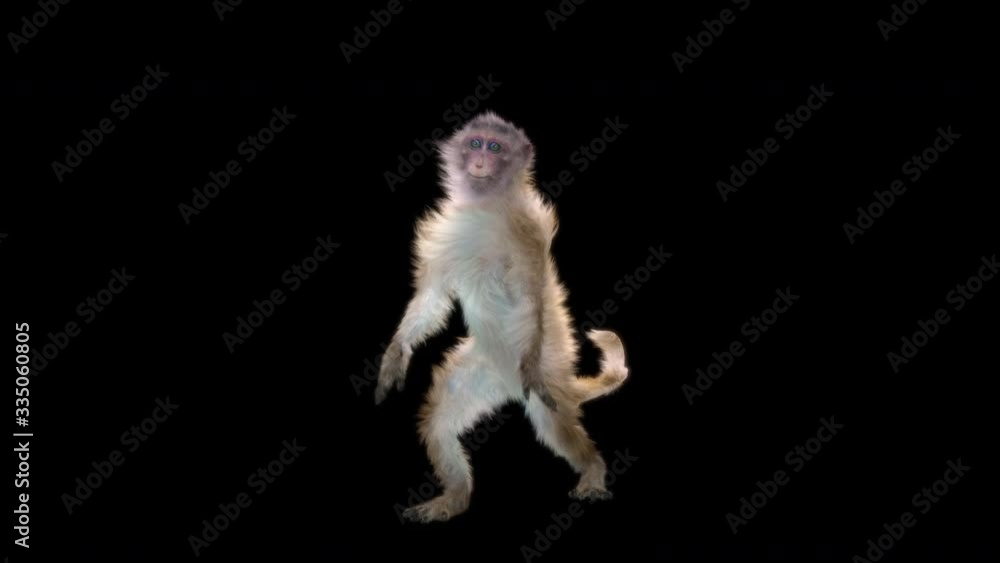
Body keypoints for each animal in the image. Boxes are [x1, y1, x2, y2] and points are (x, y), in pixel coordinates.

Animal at [375, 111, 629, 523]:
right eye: (476, 143)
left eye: (495, 147)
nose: (481, 161)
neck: (485, 205)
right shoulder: (445, 232)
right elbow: (433, 295)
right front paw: (398, 352)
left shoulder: (526, 230)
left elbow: (529, 295)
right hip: (485, 369)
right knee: (440, 420)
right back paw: (455, 496)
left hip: (548, 362)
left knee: (551, 418)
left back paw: (592, 470)